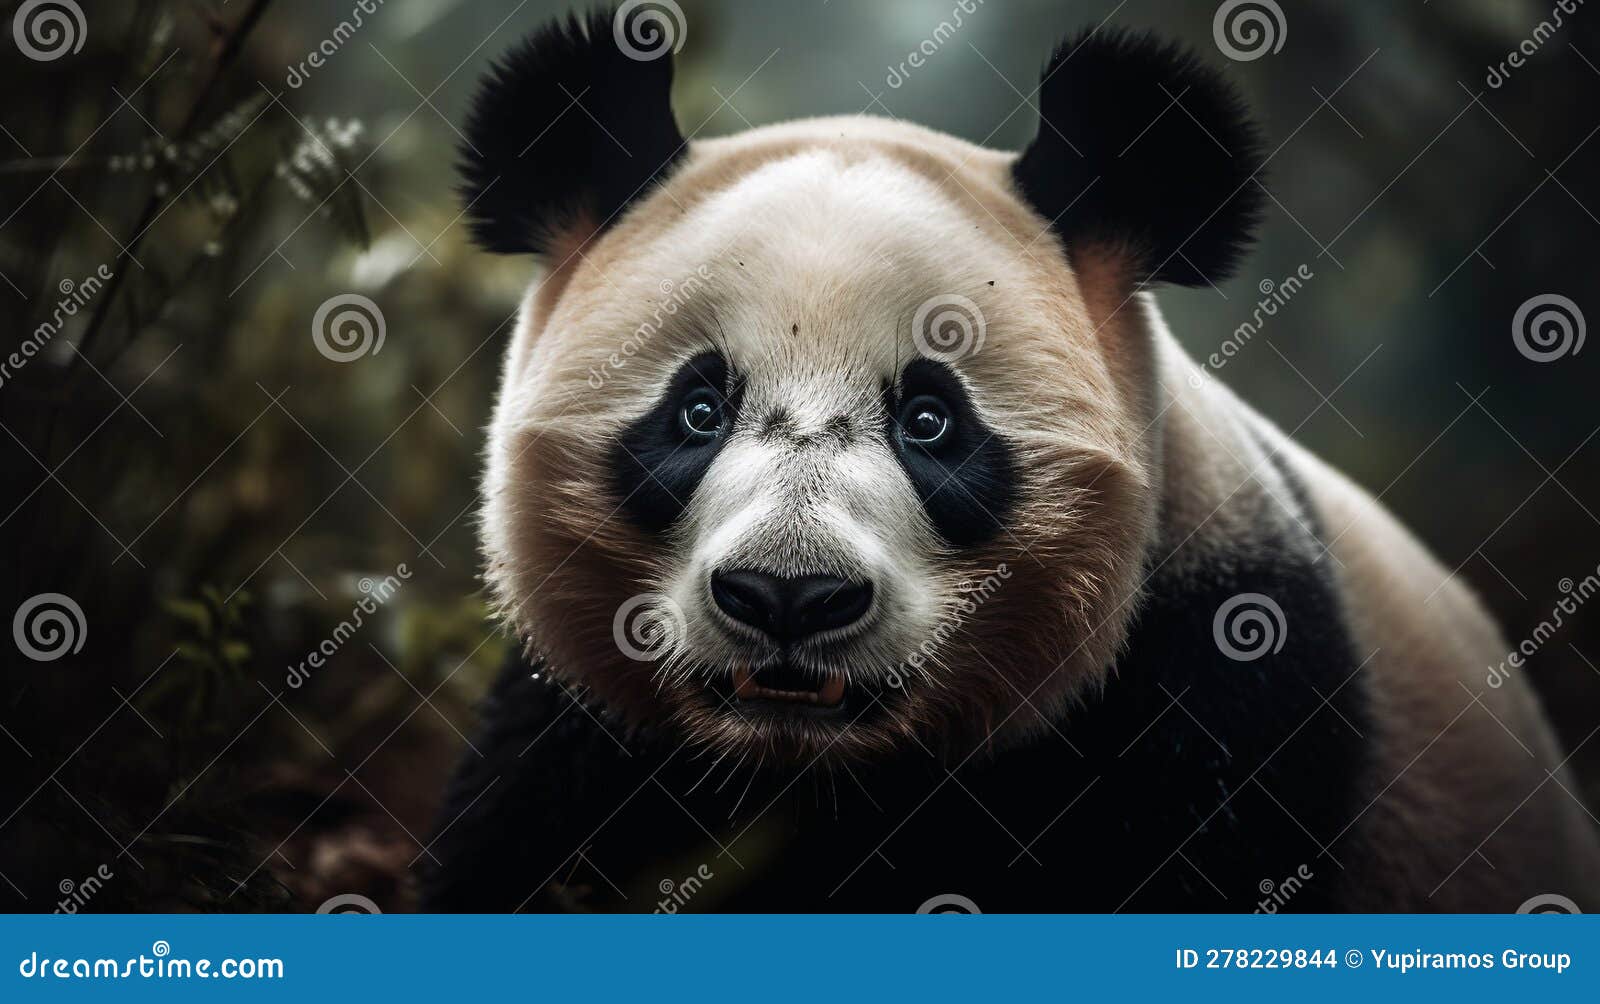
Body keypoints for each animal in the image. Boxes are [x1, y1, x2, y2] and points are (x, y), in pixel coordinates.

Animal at [422, 10, 1600, 912]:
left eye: (931, 421)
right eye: (699, 409)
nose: (790, 596)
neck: (820, 770)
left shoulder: (1220, 688)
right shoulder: (579, 736)